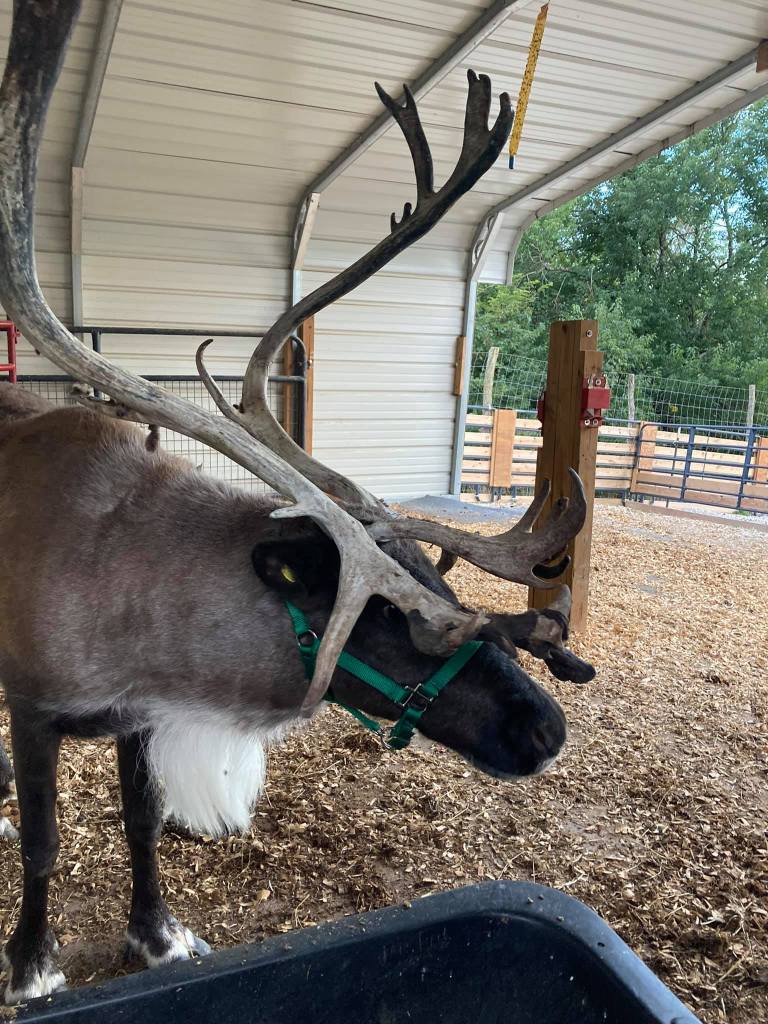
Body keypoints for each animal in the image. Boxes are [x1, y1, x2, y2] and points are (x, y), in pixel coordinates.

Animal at [0, 0, 595, 1005]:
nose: (547, 728)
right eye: (392, 623)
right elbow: (45, 845)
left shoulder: (136, 717)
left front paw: (158, 936)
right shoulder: (34, 705)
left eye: (435, 577)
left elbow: (141, 823)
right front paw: (30, 966)